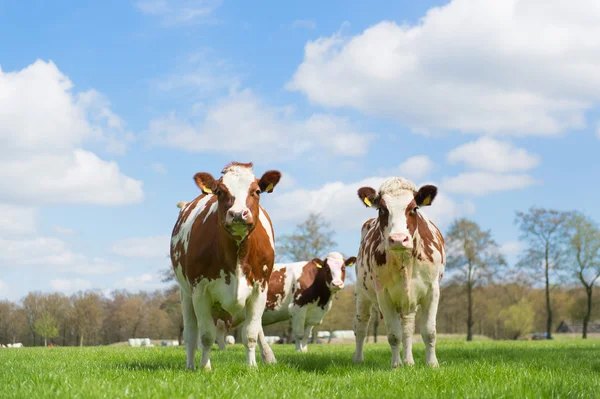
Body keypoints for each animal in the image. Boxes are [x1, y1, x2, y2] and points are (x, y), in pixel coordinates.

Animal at [169, 162, 282, 372]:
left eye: (256, 191)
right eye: (220, 192)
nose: (237, 214)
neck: (236, 255)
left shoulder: (259, 289)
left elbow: (251, 334)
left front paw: (252, 366)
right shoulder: (200, 291)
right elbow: (206, 336)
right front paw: (205, 367)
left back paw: (268, 357)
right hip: (185, 293)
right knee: (190, 334)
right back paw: (190, 365)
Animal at [216, 253, 356, 354]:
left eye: (343, 268)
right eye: (327, 268)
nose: (337, 284)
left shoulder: (312, 314)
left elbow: (307, 335)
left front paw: (305, 350)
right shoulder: (297, 309)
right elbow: (299, 334)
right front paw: (299, 351)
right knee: (219, 330)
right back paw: (222, 349)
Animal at [352, 178, 446, 368]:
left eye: (414, 208)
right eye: (381, 209)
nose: (398, 239)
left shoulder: (432, 291)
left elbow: (429, 331)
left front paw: (432, 364)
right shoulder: (384, 295)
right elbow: (394, 335)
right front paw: (396, 365)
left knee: (408, 329)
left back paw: (409, 361)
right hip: (362, 294)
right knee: (361, 325)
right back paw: (358, 359)